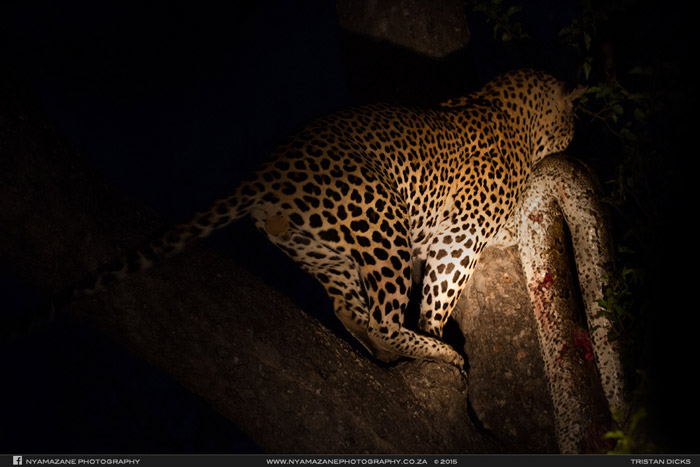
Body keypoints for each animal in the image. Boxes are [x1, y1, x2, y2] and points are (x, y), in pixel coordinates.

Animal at [18, 69, 587, 369]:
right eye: (571, 122)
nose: (573, 138)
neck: (505, 108)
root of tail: (266, 172)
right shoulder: (459, 238)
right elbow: (441, 292)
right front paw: (437, 332)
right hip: (382, 224)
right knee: (382, 315)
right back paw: (434, 351)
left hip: (324, 249)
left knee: (346, 309)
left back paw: (383, 349)